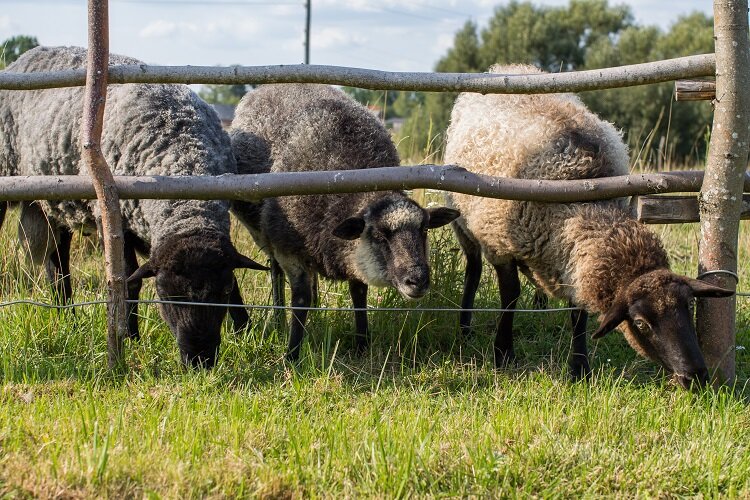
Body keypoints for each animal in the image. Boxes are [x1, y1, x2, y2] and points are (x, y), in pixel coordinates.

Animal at [0, 47, 268, 368]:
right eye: (164, 294)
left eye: (223, 290)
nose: (199, 360)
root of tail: (27, 56)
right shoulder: (115, 221)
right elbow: (129, 280)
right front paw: (129, 337)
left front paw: (246, 332)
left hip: (57, 202)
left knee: (58, 265)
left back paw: (68, 319)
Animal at [232, 84, 462, 362]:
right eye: (379, 236)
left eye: (425, 230)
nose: (417, 281)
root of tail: (267, 86)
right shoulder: (289, 251)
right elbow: (300, 300)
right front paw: (292, 353)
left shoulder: (354, 257)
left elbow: (358, 295)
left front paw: (362, 343)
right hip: (266, 234)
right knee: (275, 271)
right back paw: (278, 319)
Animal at [446, 64, 736, 388]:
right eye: (641, 324)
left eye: (689, 306)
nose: (696, 376)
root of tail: (507, 68)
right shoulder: (500, 245)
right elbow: (509, 297)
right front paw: (503, 354)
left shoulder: (572, 258)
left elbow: (578, 314)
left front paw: (579, 368)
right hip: (463, 222)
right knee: (473, 269)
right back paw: (465, 328)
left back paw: (539, 307)